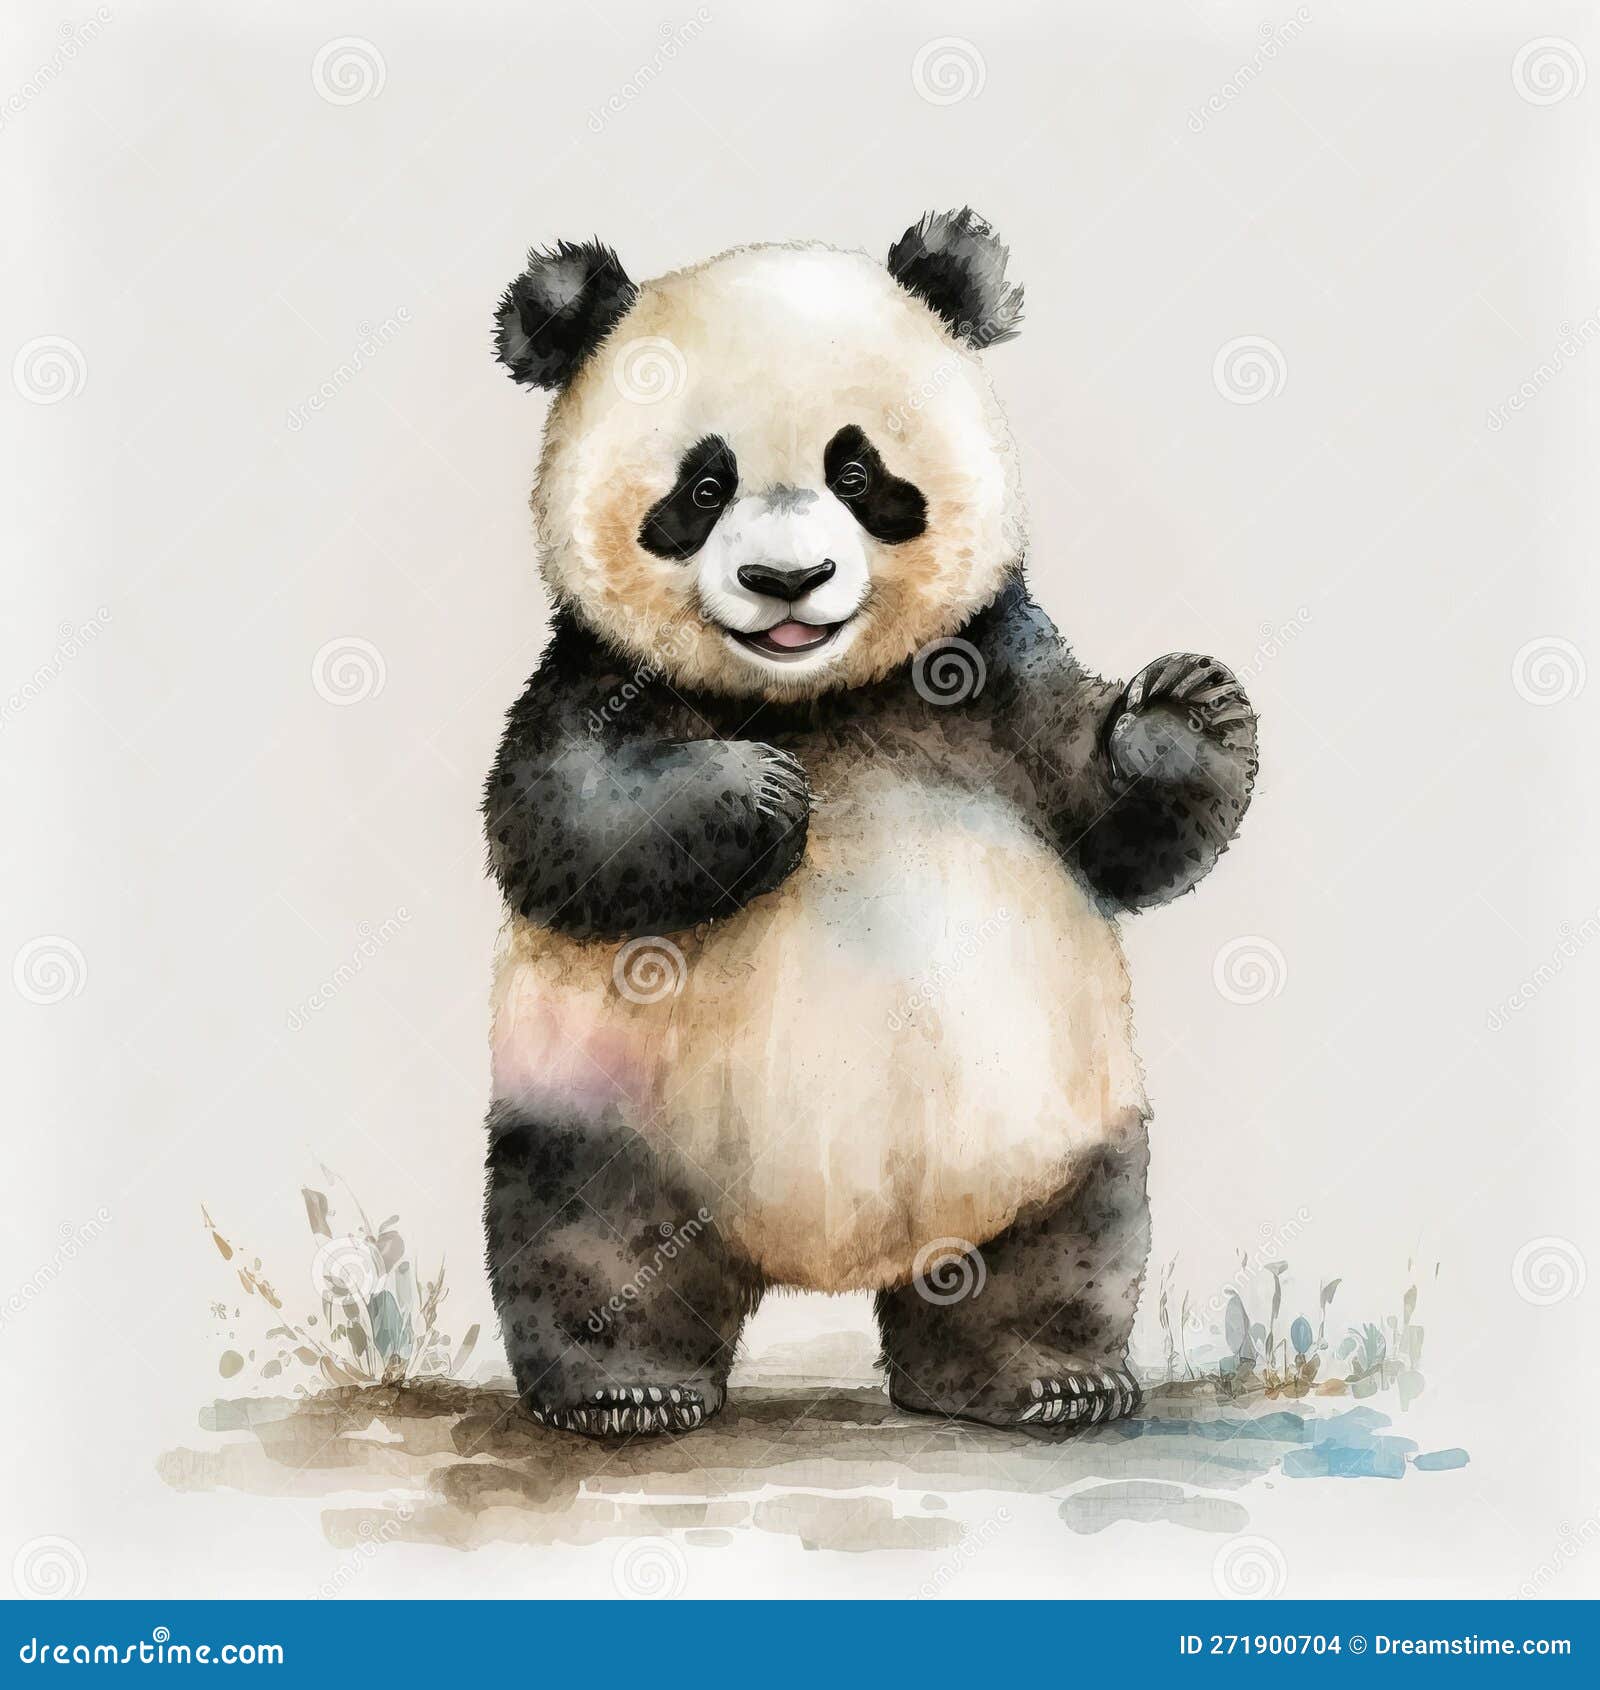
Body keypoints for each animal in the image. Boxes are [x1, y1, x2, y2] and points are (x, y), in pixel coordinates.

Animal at [482, 210, 1257, 1439]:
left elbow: (1113, 827)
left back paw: (1043, 1377)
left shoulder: (990, 667)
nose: (786, 578)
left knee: (1069, 1238)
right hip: (605, 1109)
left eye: (856, 471)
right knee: (584, 1233)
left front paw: (1189, 711)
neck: (819, 698)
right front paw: (758, 794)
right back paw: (624, 1389)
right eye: (703, 486)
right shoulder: (589, 677)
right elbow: (554, 829)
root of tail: (827, 1258)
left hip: (1058, 1118)